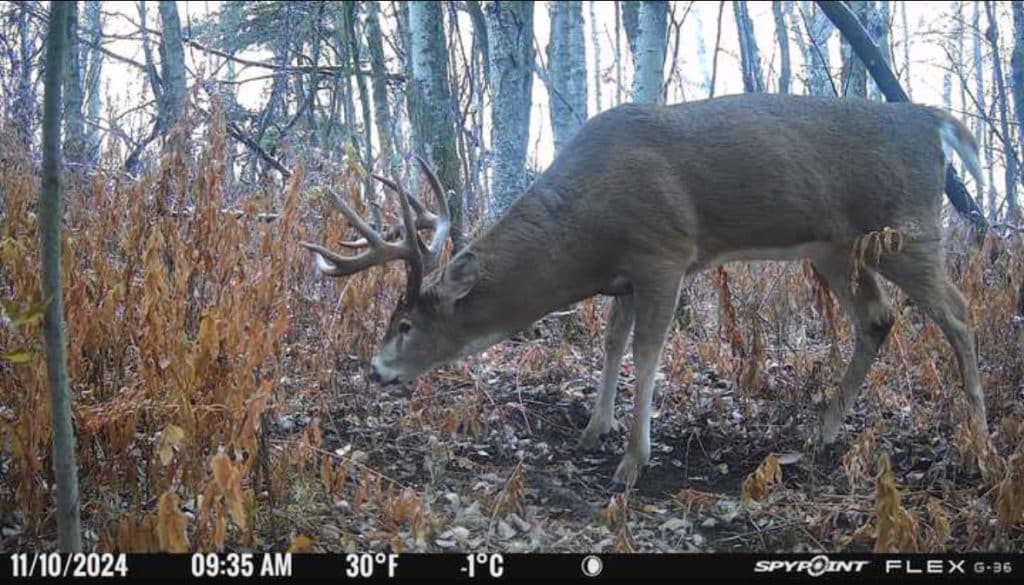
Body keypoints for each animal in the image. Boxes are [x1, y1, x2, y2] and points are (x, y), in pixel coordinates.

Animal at [301, 93, 988, 488]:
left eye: (406, 325)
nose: (375, 370)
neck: (586, 229)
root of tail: (933, 121)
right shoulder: (625, 275)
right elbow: (610, 344)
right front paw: (594, 429)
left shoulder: (664, 252)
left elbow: (647, 354)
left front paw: (633, 462)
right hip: (836, 247)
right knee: (877, 320)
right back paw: (820, 432)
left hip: (907, 227)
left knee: (958, 315)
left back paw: (980, 446)